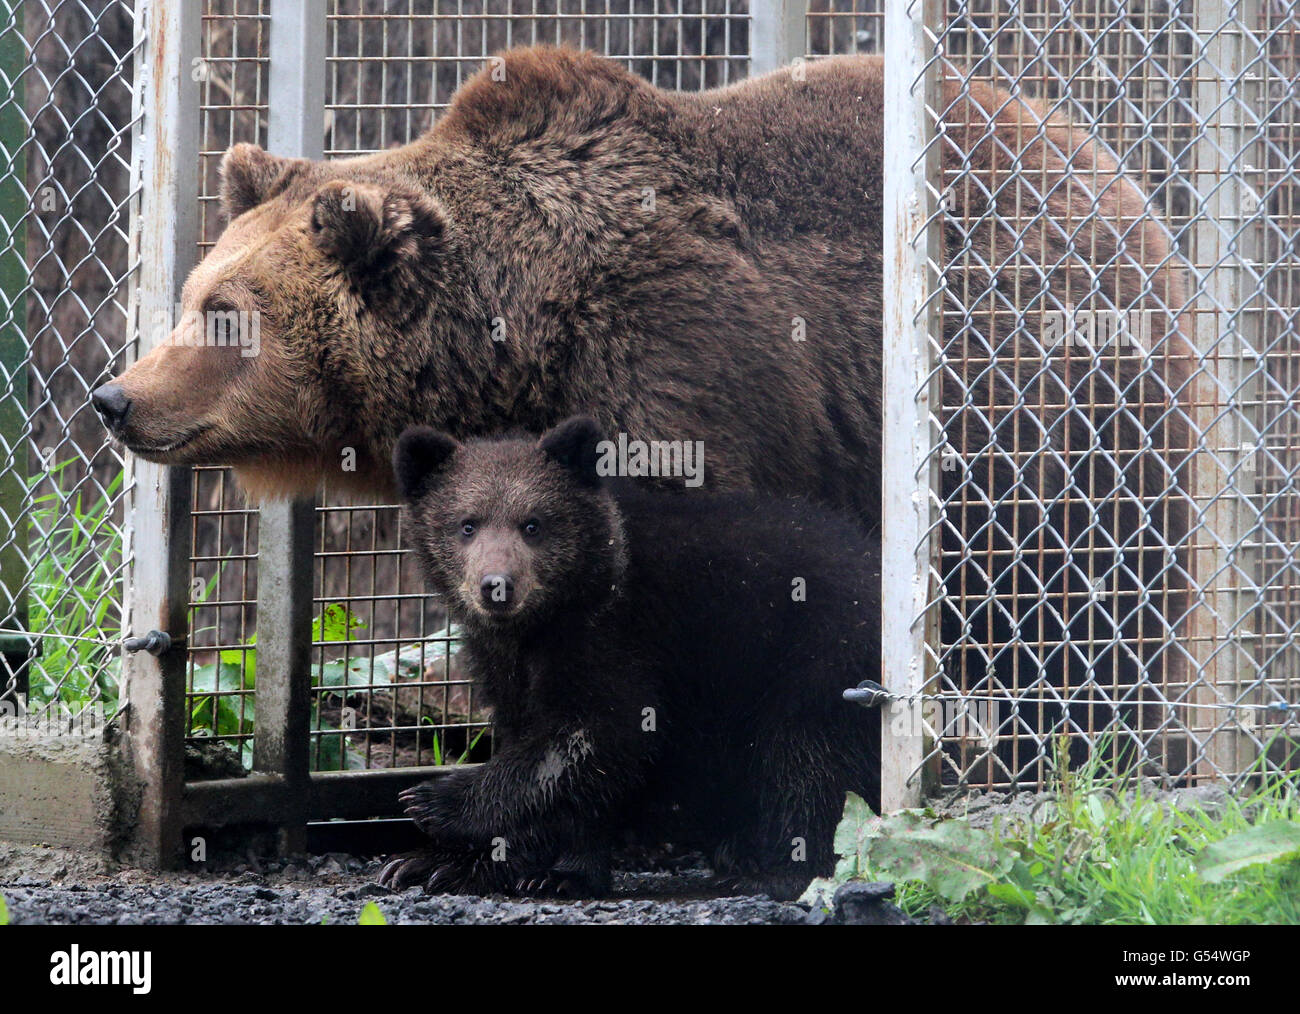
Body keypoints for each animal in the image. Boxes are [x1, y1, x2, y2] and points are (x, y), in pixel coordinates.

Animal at [94, 46, 1191, 782]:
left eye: (224, 312)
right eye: (191, 293)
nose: (116, 397)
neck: (512, 341)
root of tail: (1096, 158)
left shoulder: (676, 373)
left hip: (1032, 403)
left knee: (1072, 601)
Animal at [381, 415, 881, 900]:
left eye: (533, 524)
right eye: (467, 524)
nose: (497, 585)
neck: (544, 622)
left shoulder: (618, 640)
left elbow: (597, 736)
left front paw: (436, 805)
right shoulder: (507, 666)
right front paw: (446, 864)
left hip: (817, 653)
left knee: (808, 758)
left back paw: (779, 871)